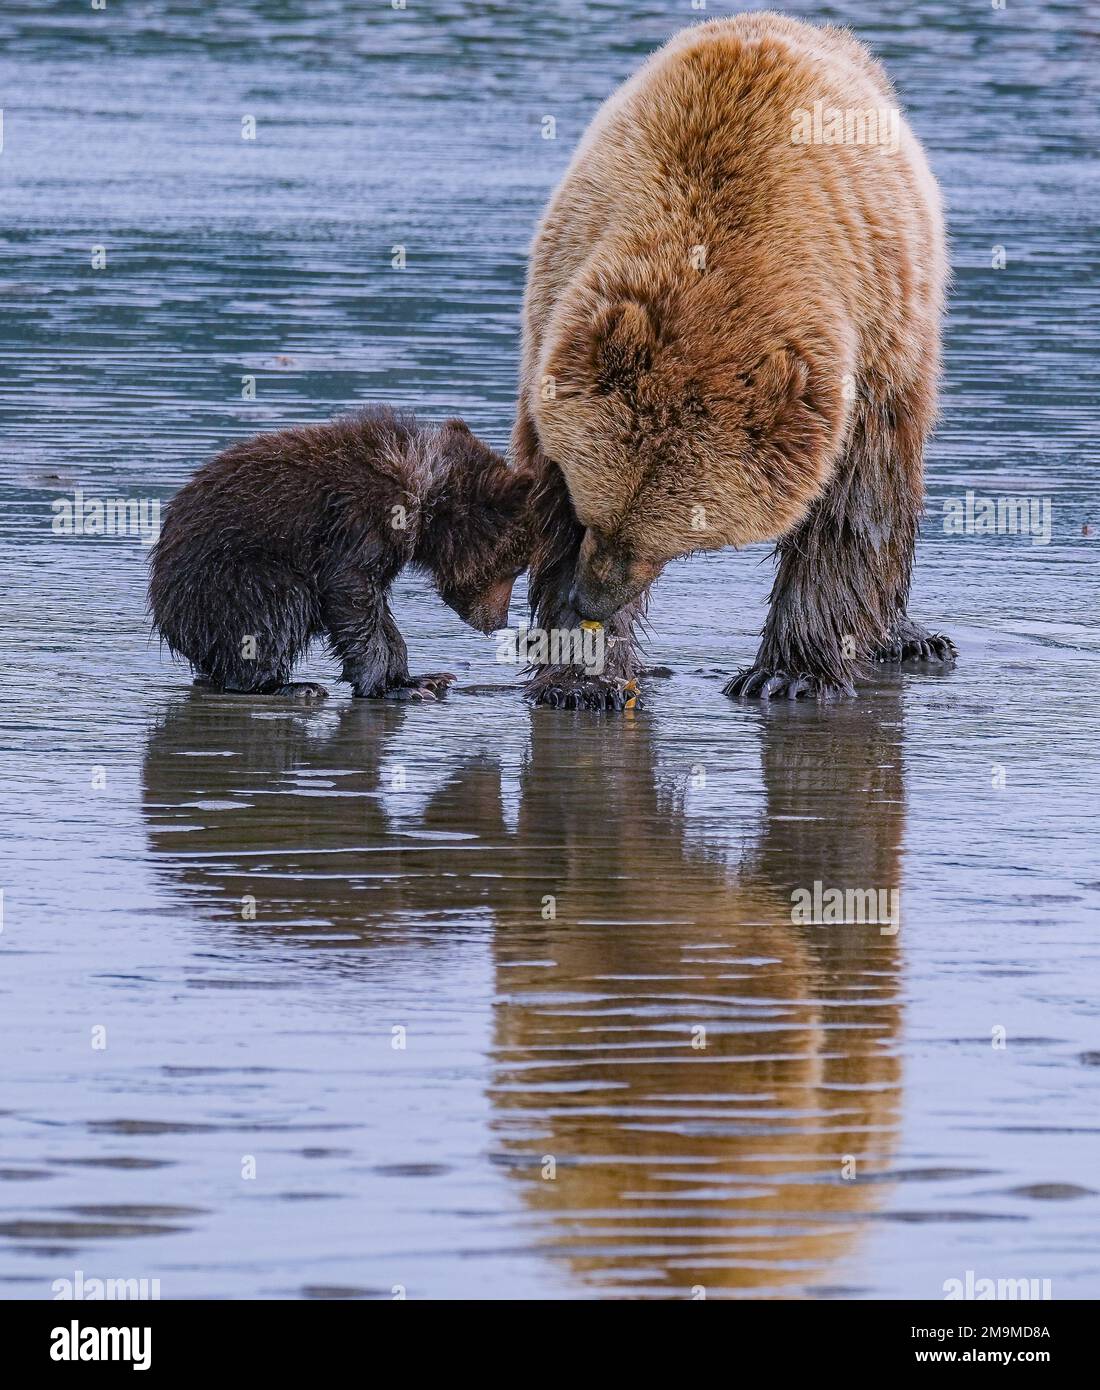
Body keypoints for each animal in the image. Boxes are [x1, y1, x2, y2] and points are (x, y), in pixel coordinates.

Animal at [149, 407, 533, 701]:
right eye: (517, 567)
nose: (499, 621)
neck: (425, 495)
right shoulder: (359, 521)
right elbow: (351, 592)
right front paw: (390, 687)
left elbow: (378, 609)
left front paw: (422, 678)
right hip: (226, 577)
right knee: (276, 605)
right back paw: (288, 685)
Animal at [512, 13, 955, 708]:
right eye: (598, 513)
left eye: (661, 538)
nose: (594, 599)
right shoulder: (560, 313)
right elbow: (546, 498)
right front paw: (582, 675)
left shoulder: (867, 350)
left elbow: (852, 510)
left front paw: (787, 674)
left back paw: (907, 636)